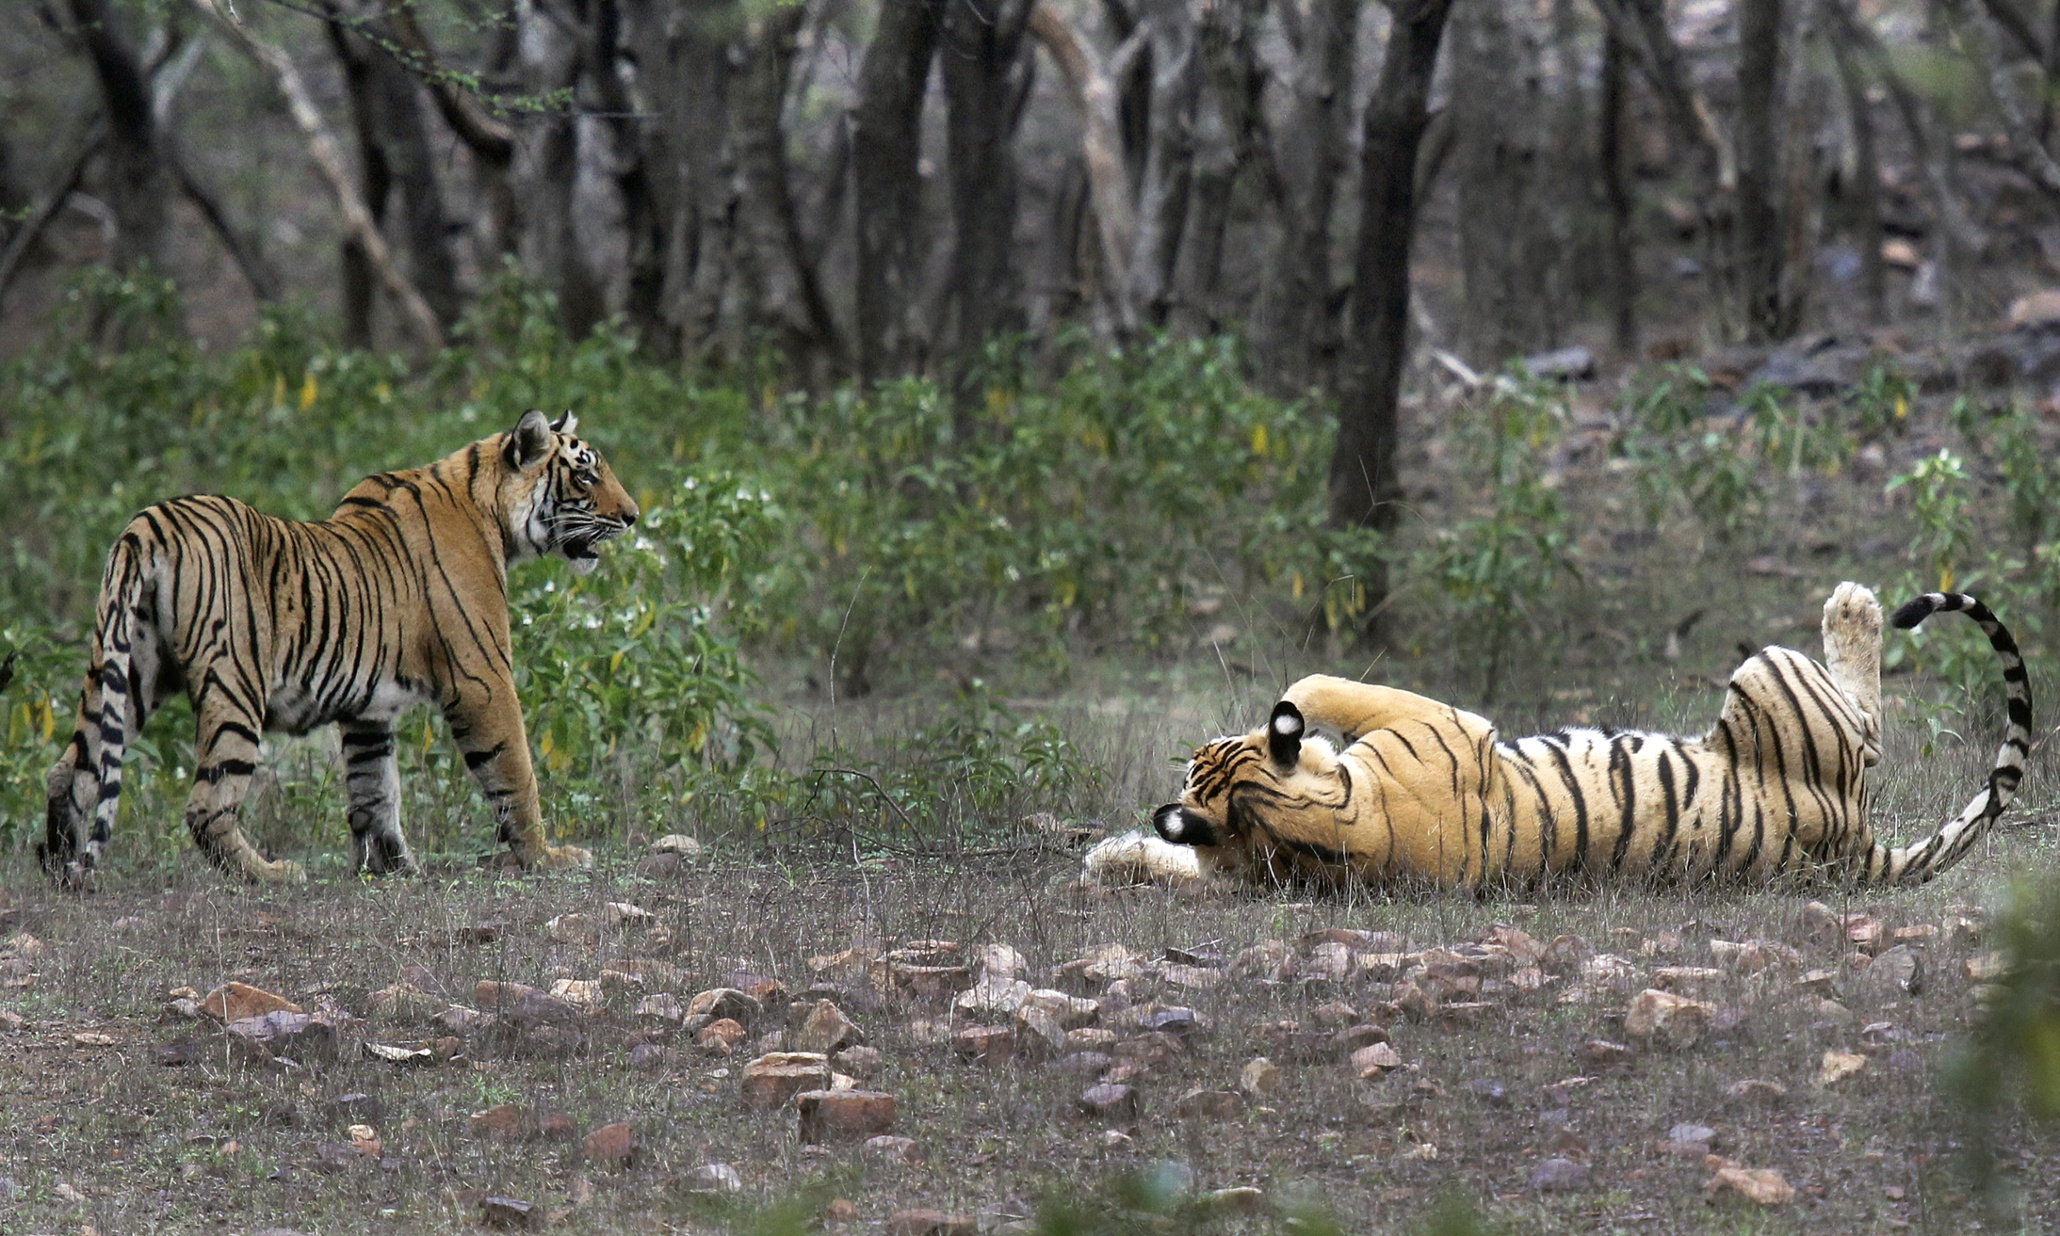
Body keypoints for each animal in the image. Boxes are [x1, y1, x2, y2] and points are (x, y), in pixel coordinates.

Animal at [39, 409, 638, 887]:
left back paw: (58, 866)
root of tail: (149, 524)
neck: (490, 509)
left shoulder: (367, 709)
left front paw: (392, 868)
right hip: (234, 683)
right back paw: (271, 873)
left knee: (72, 769)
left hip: (130, 669)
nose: (632, 516)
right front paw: (547, 857)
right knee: (207, 804)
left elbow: (375, 790)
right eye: (586, 473)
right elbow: (515, 773)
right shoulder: (482, 679)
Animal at [1087, 582, 2032, 890]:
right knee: (1869, 724)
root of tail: (1856, 844)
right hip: (1769, 672)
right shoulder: (1441, 720)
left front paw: (1110, 855)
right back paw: (1854, 606)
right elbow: (1318, 689)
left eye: (1200, 759)